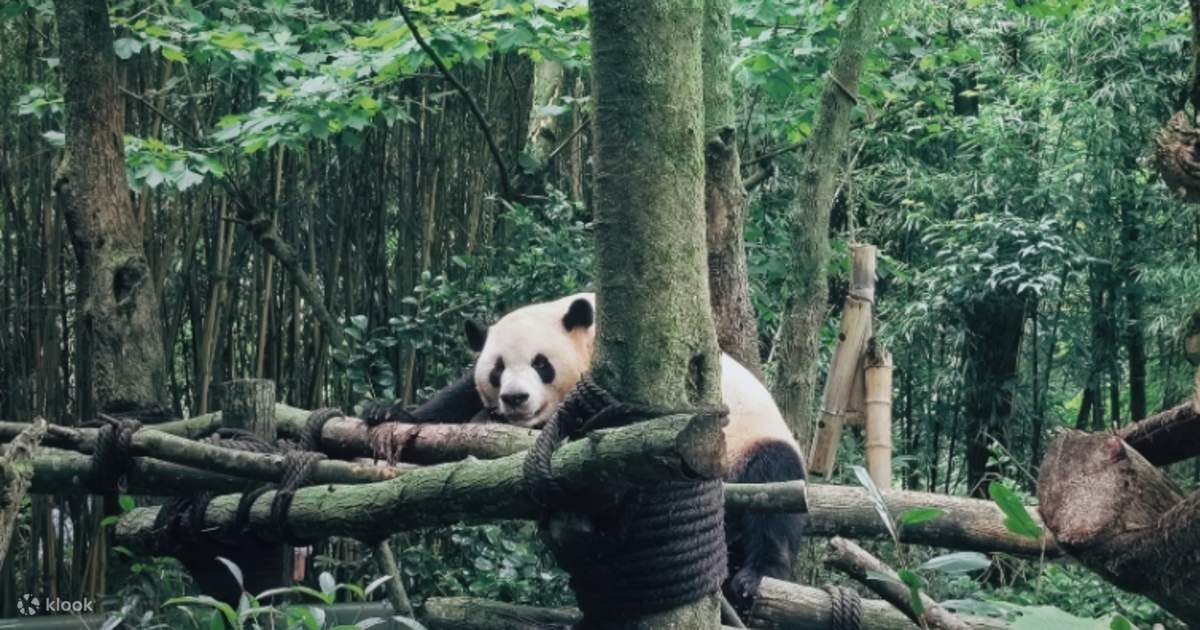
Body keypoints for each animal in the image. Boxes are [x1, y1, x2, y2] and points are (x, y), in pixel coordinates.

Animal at [369, 292, 807, 607]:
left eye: (541, 364)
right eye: (497, 369)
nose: (515, 398)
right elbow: (454, 399)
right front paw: (389, 410)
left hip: (749, 443)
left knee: (773, 489)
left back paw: (755, 577)